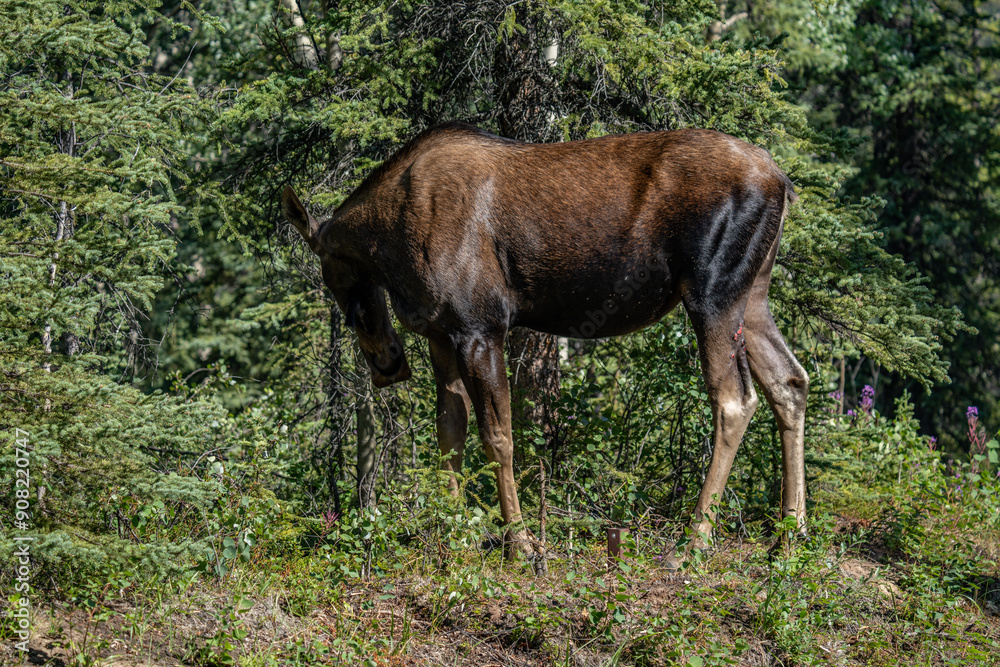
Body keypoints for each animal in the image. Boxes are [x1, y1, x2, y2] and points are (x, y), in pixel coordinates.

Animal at [281, 121, 808, 567]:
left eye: (340, 288)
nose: (387, 366)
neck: (388, 245)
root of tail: (782, 181)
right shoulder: (441, 336)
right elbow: (450, 435)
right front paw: (455, 535)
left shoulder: (480, 328)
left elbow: (498, 439)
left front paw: (522, 544)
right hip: (752, 294)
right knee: (790, 381)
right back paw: (791, 536)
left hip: (712, 292)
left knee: (735, 400)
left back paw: (693, 542)